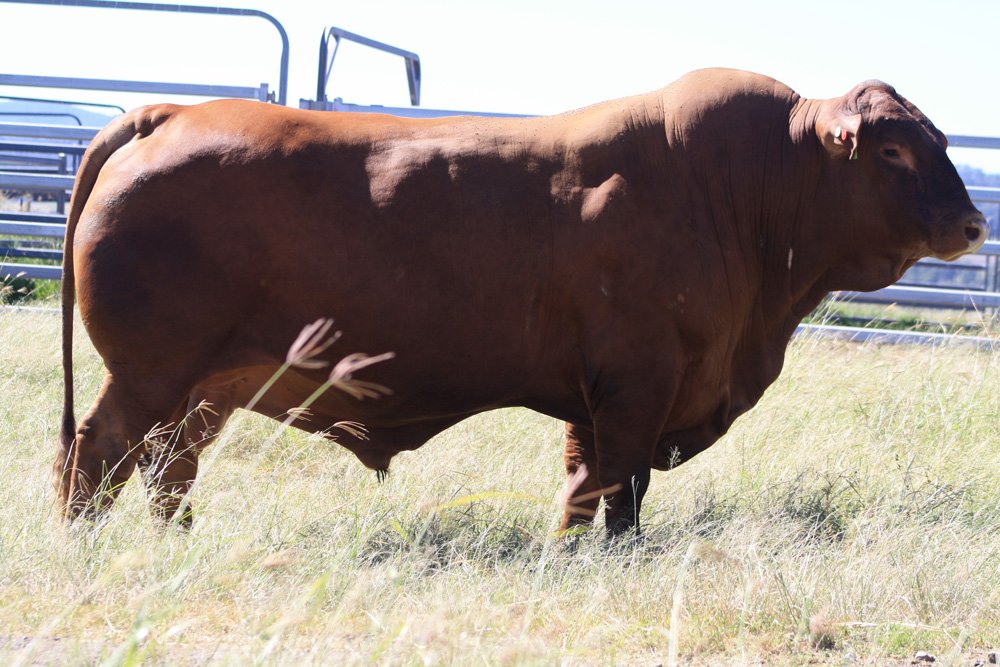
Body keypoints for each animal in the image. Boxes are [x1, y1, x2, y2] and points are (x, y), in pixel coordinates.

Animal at [53, 68, 988, 535]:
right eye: (895, 151)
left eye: (939, 139)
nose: (974, 221)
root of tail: (169, 113)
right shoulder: (637, 387)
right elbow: (617, 491)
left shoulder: (603, 399)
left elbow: (594, 484)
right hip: (149, 374)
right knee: (97, 456)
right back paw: (84, 546)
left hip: (206, 386)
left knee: (168, 468)